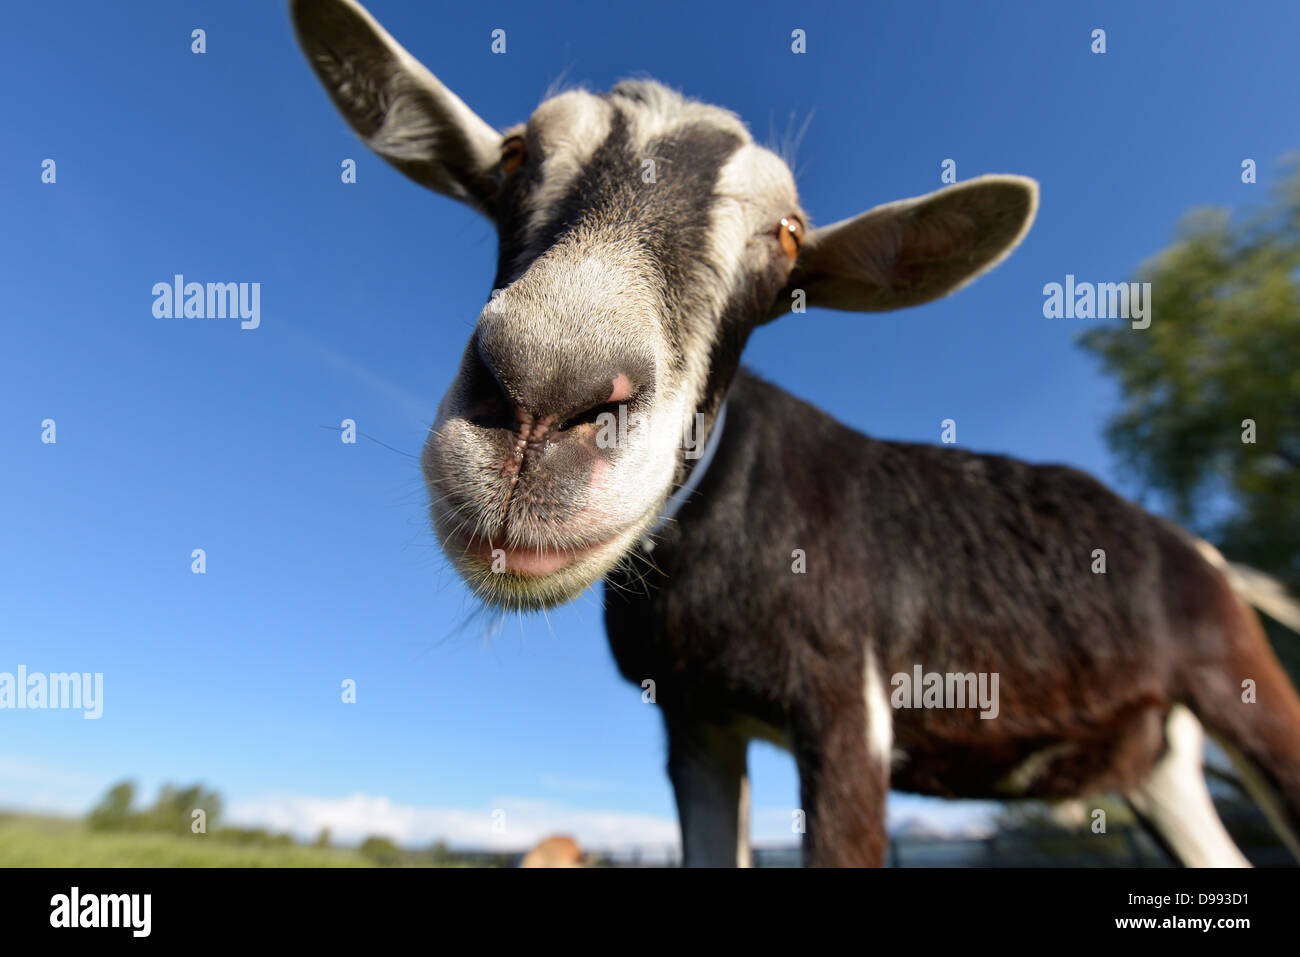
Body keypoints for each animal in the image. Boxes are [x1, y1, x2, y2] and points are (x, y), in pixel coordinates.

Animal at [292, 0, 1300, 867]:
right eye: (510, 158)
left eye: (786, 236)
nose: (543, 397)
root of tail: (1202, 556)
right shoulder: (697, 723)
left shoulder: (848, 710)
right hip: (1164, 767)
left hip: (1244, 691)